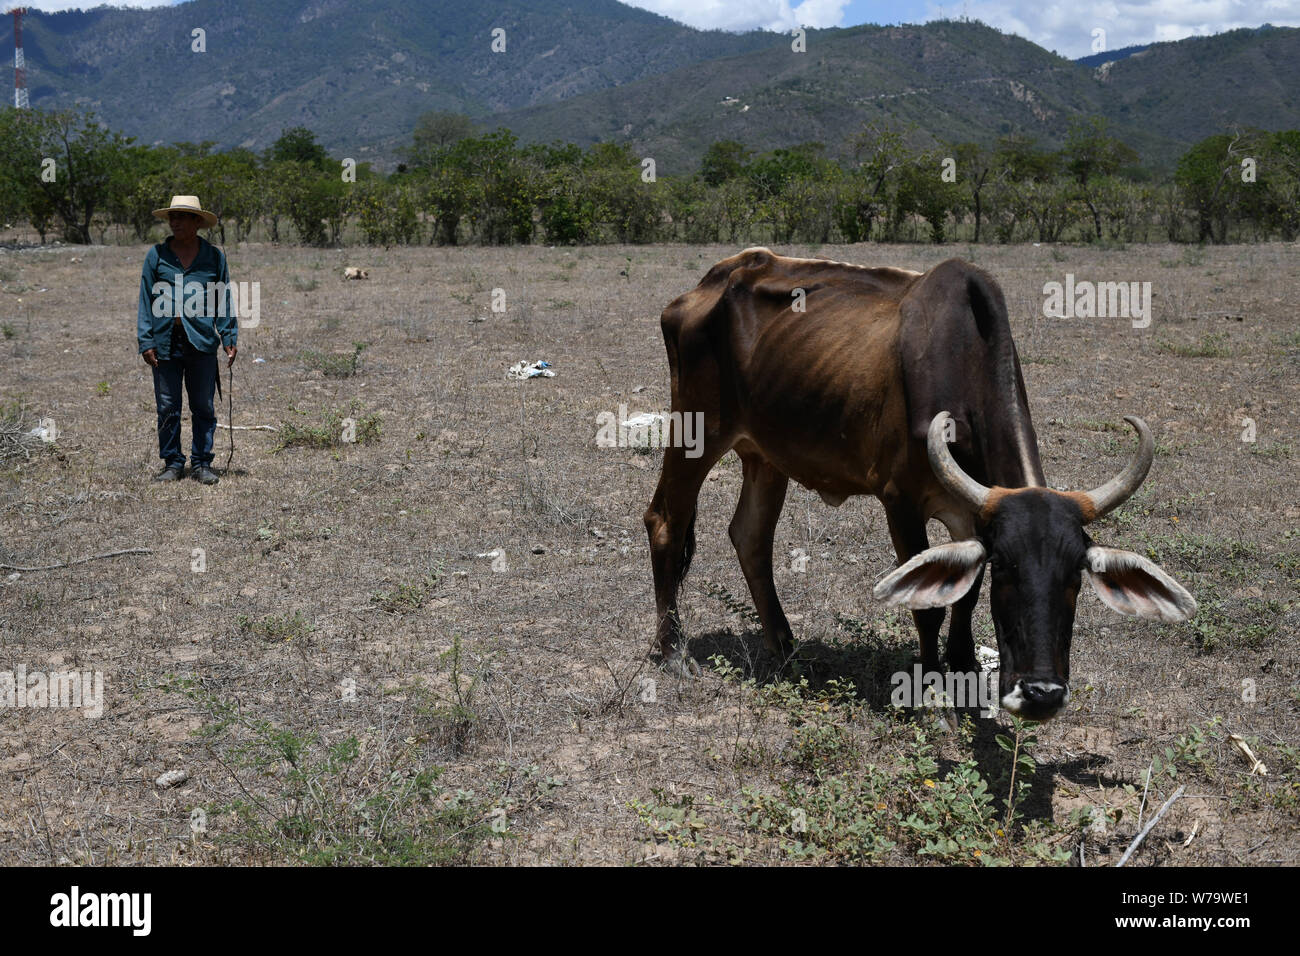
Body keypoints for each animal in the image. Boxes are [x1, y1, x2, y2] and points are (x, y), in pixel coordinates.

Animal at [643, 247, 1196, 721]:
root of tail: (711, 281)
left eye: (1076, 576)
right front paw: (930, 689)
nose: (1041, 694)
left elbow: (964, 595)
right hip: (695, 431)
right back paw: (673, 651)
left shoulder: (970, 515)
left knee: (751, 536)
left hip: (765, 453)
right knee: (665, 521)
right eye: (1008, 570)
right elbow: (929, 605)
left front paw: (965, 669)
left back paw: (784, 645)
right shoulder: (901, 501)